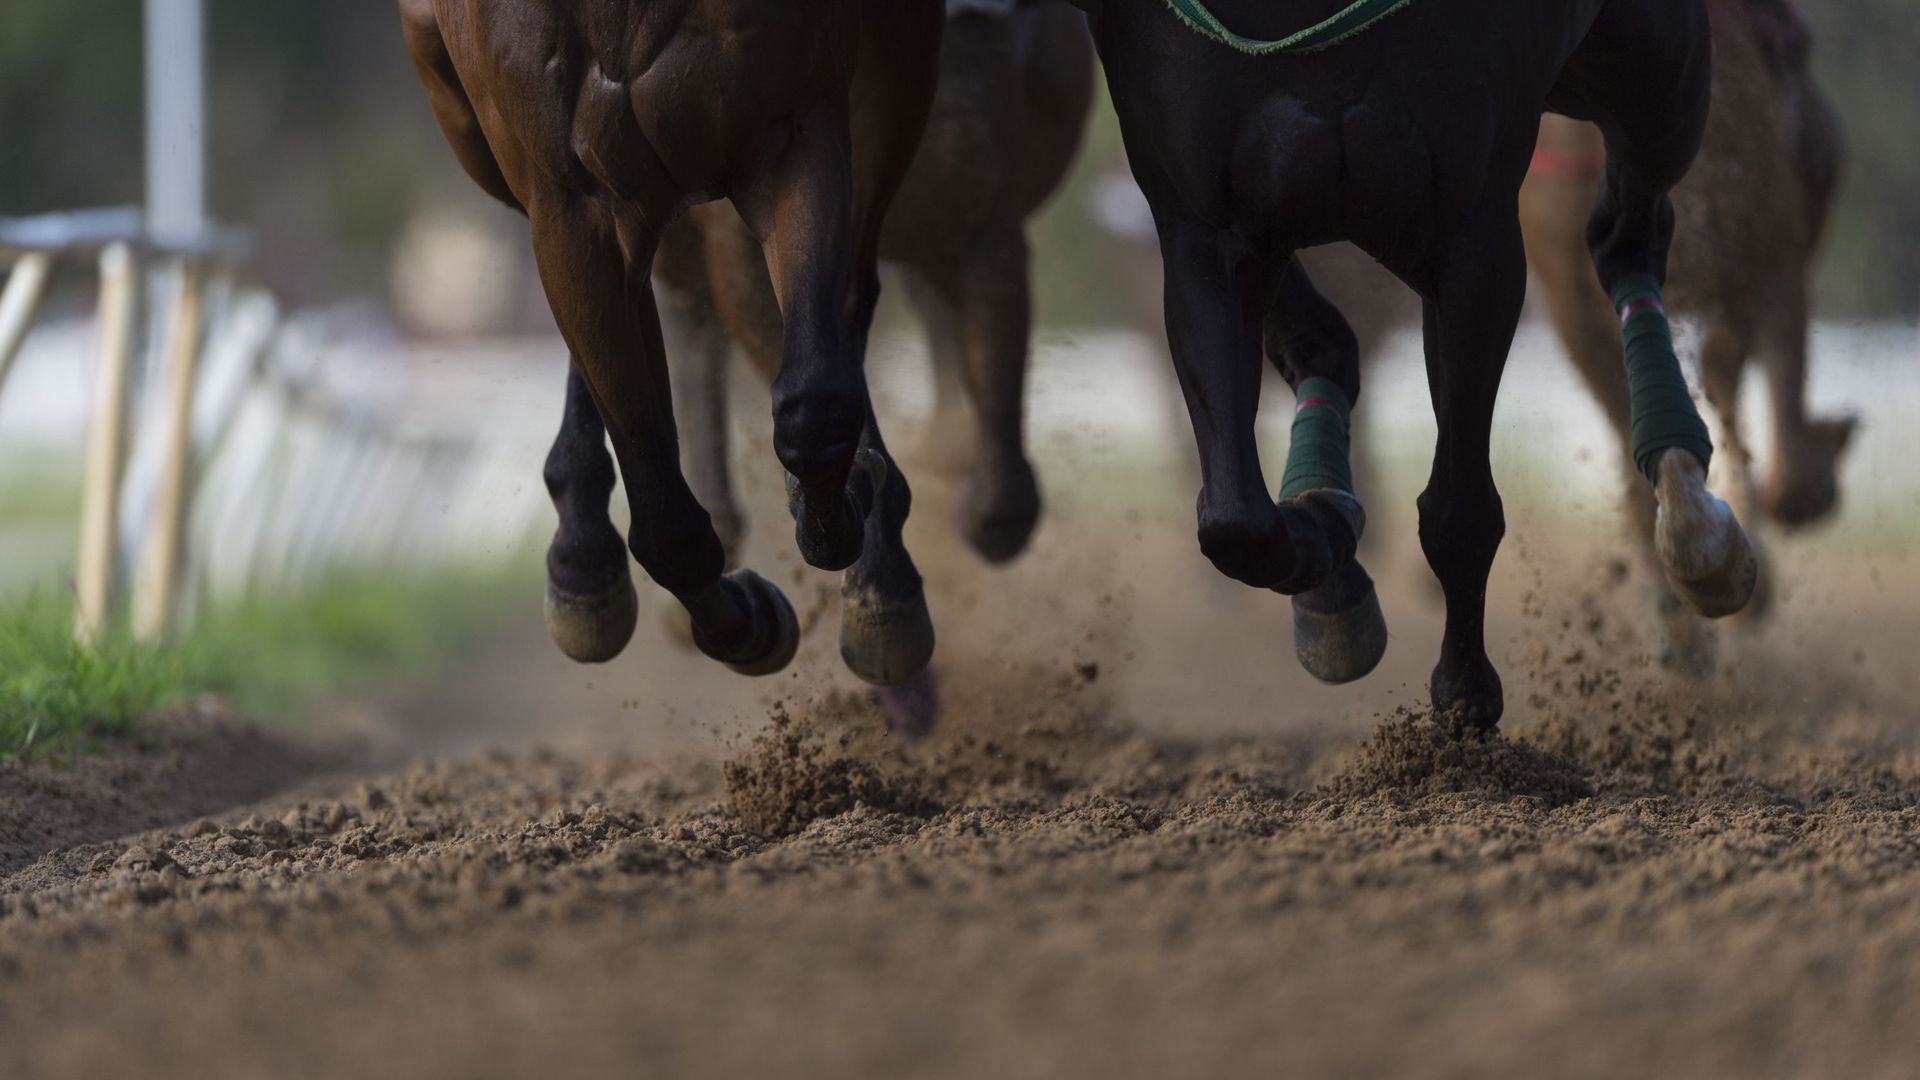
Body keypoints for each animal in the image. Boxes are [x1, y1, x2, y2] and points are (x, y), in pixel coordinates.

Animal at [399, 0, 944, 685]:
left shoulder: (793, 125)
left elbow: (816, 404)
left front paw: (852, 518)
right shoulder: (566, 196)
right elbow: (665, 521)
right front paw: (747, 620)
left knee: (839, 302)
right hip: (466, 113)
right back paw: (585, 559)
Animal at [1075, 0, 1758, 728]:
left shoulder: (1469, 237)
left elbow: (1459, 509)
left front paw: (1464, 694)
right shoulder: (1203, 228)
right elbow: (1237, 522)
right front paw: (1330, 551)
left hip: (1654, 74)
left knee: (1627, 234)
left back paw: (1697, 525)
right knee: (1320, 341)